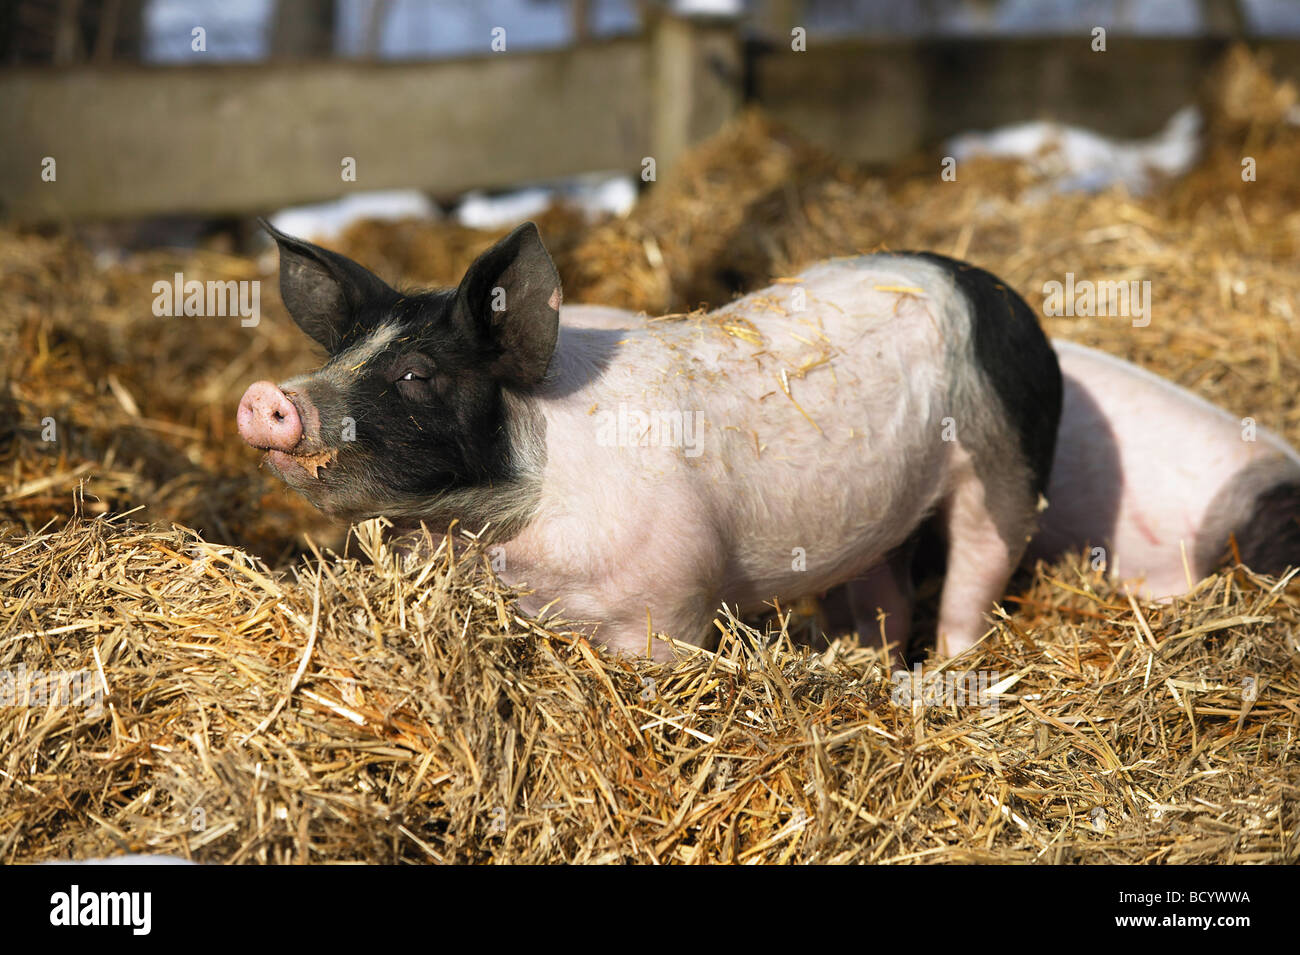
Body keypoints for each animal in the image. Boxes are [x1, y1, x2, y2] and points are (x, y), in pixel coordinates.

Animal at [238, 221, 1062, 661]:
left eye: (416, 373)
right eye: (343, 349)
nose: (267, 396)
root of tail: (1000, 293)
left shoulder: (671, 602)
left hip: (1008, 469)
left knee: (973, 582)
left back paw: (944, 675)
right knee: (883, 591)